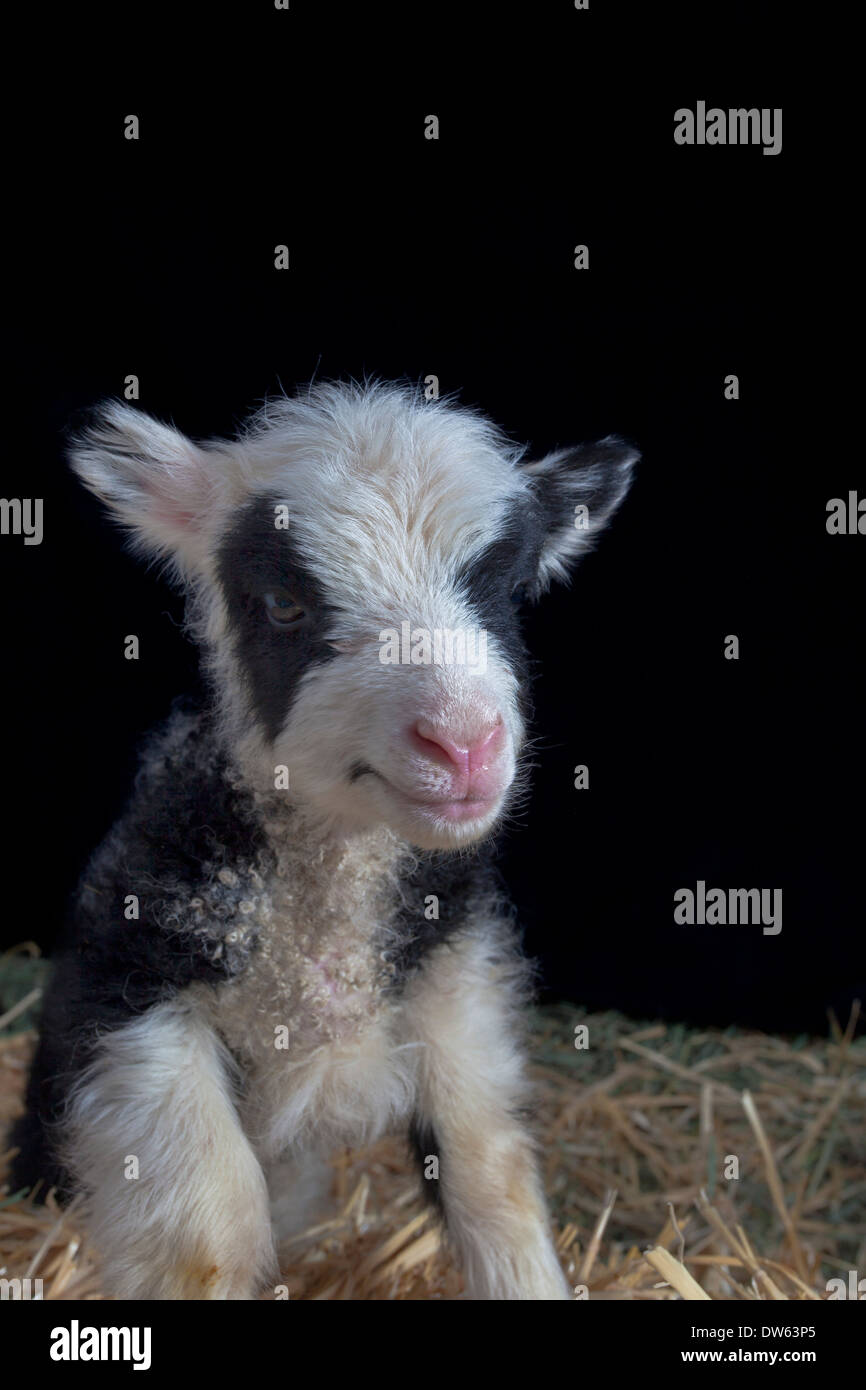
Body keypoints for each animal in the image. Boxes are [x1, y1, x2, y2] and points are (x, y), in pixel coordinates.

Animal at [11, 381, 637, 1300]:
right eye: (283, 605)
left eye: (505, 593)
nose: (463, 743)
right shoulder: (131, 988)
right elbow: (207, 1227)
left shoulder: (454, 984)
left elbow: (493, 1178)